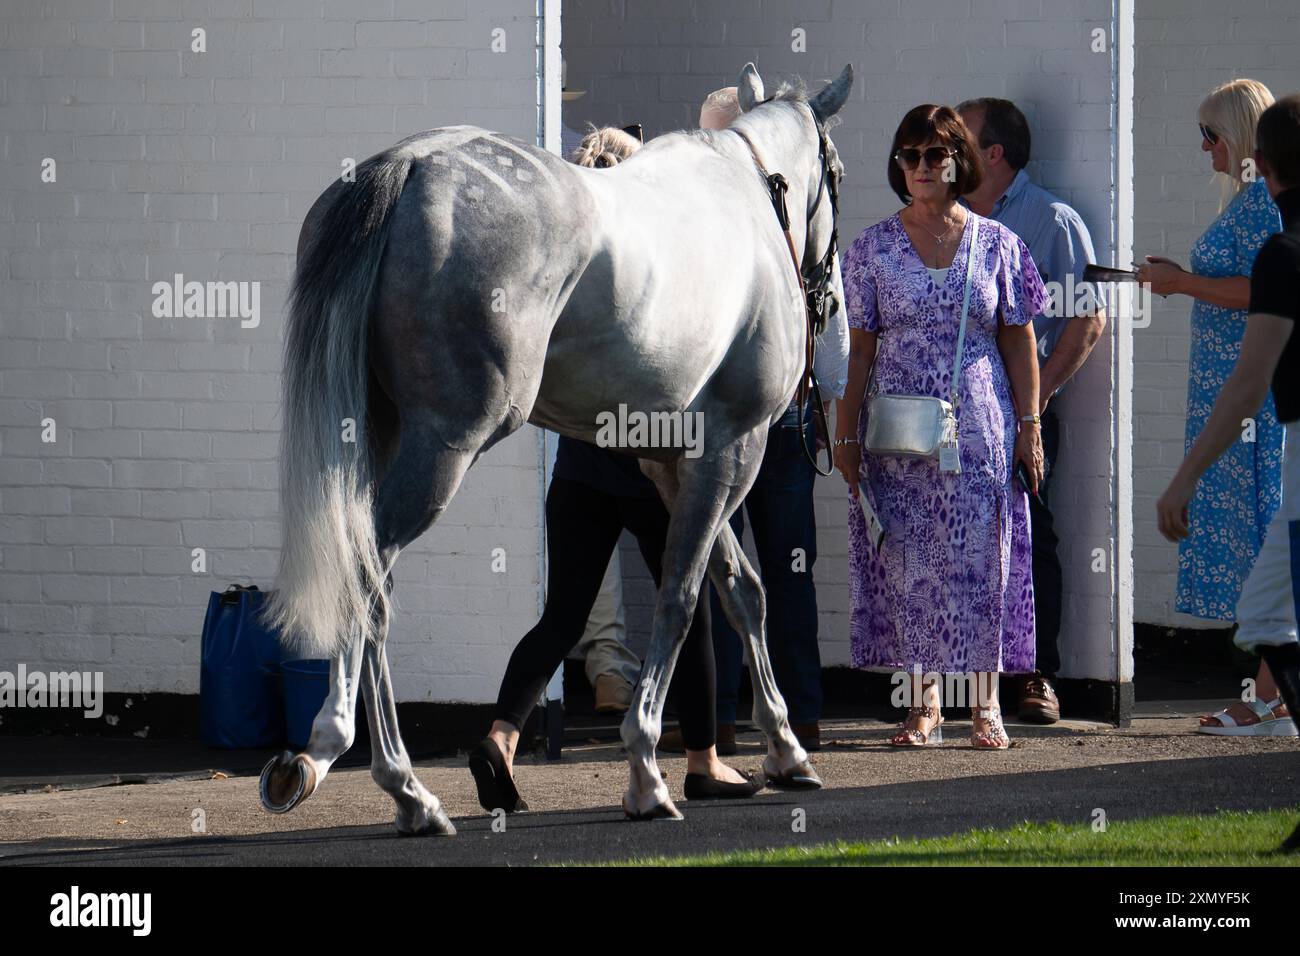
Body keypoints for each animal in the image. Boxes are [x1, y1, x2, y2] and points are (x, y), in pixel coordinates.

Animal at [257, 62, 853, 833]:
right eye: (836, 173)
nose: (828, 302)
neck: (746, 195)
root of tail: (408, 165)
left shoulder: (673, 466)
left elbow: (739, 590)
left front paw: (786, 751)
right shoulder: (733, 449)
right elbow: (682, 597)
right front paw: (645, 771)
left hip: (379, 438)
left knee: (363, 576)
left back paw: (367, 771)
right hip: (445, 446)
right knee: (368, 582)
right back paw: (391, 780)